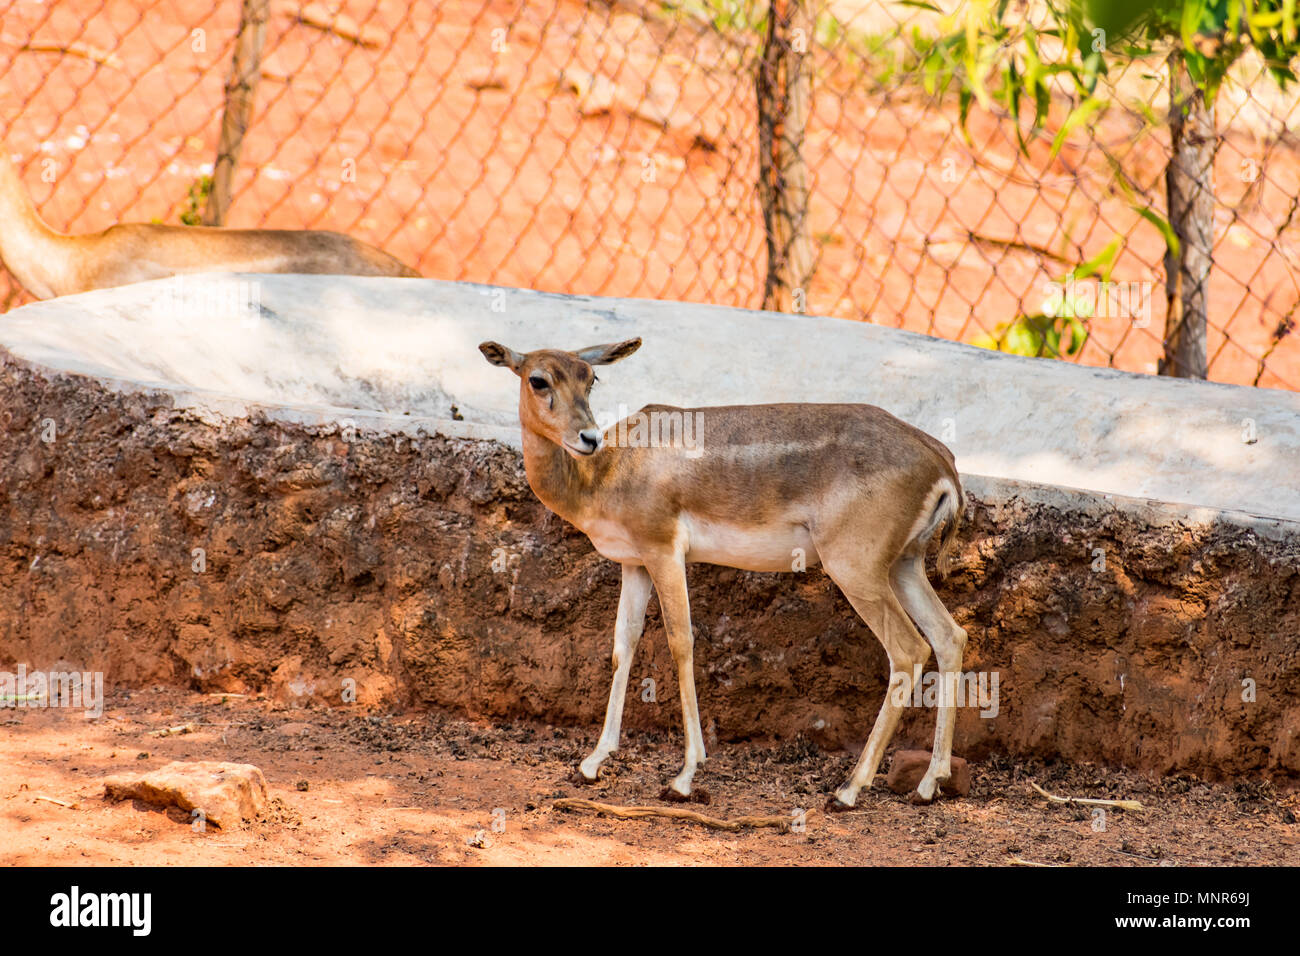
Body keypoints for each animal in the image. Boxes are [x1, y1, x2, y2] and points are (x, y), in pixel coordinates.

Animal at [479, 336, 969, 808]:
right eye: (539, 379)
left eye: (591, 377)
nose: (587, 436)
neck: (605, 473)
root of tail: (942, 461)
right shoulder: (633, 563)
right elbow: (623, 645)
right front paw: (592, 762)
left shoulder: (663, 549)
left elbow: (681, 642)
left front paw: (684, 777)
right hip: (904, 563)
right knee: (949, 636)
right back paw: (928, 784)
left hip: (854, 566)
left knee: (908, 648)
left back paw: (848, 791)